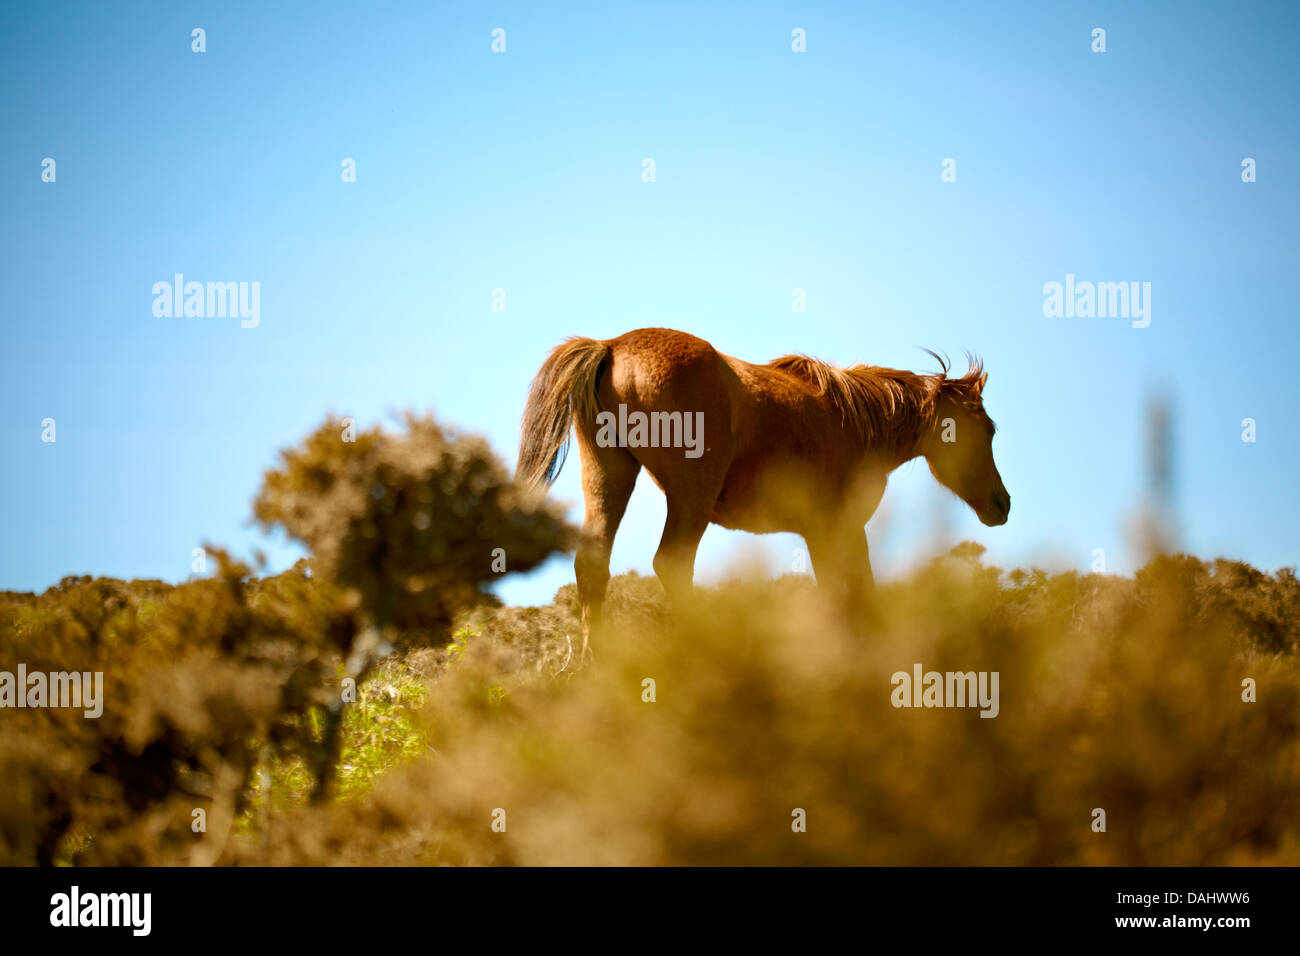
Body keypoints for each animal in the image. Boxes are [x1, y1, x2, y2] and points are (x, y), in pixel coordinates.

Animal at [517, 327, 1009, 650]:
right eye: (987, 429)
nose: (1002, 503)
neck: (855, 418)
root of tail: (613, 347)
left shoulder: (819, 535)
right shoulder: (843, 530)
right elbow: (857, 597)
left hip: (609, 477)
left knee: (594, 565)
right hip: (690, 498)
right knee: (671, 564)